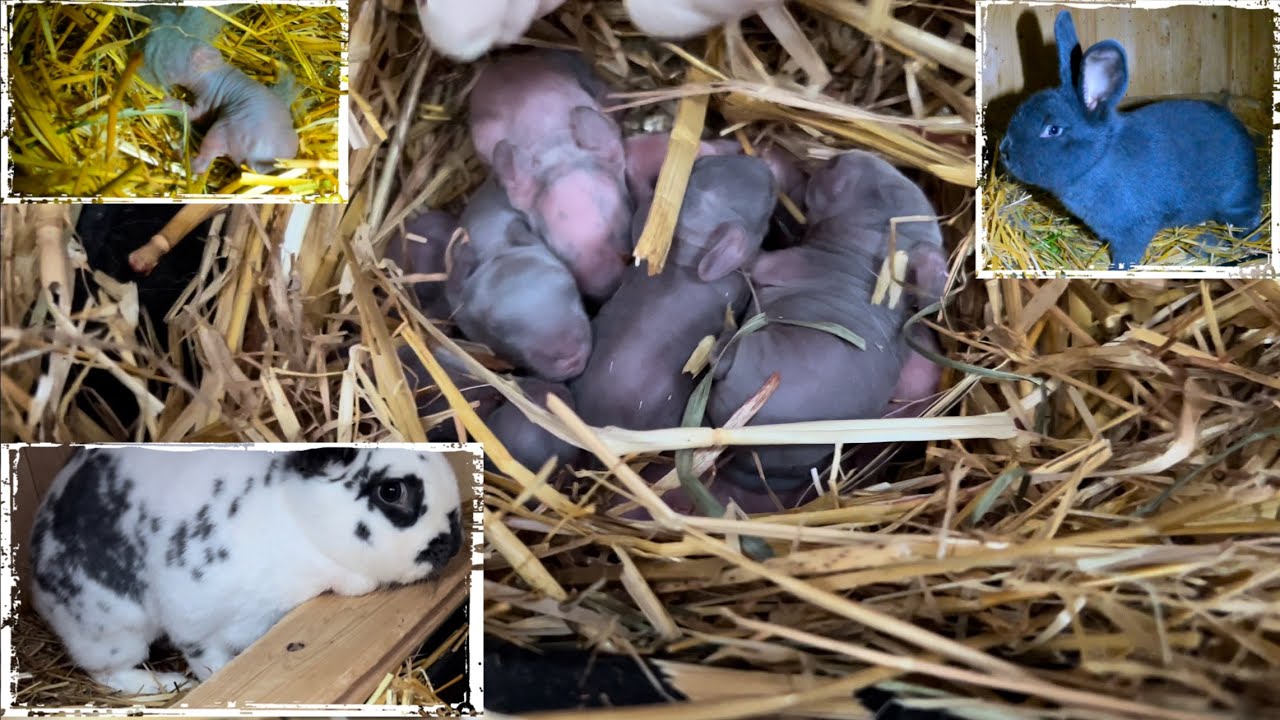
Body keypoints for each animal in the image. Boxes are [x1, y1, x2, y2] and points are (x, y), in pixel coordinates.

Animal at [28, 446, 464, 696]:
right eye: (391, 492)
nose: (454, 542)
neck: (299, 524)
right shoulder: (197, 624)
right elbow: (211, 663)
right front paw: (212, 680)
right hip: (115, 630)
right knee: (107, 671)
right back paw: (164, 684)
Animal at [998, 10, 1261, 269]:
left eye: (1053, 129)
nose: (1004, 150)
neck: (1098, 160)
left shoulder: (1133, 230)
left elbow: (1127, 256)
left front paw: (1115, 270)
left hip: (1234, 198)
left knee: (1250, 213)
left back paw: (1248, 237)